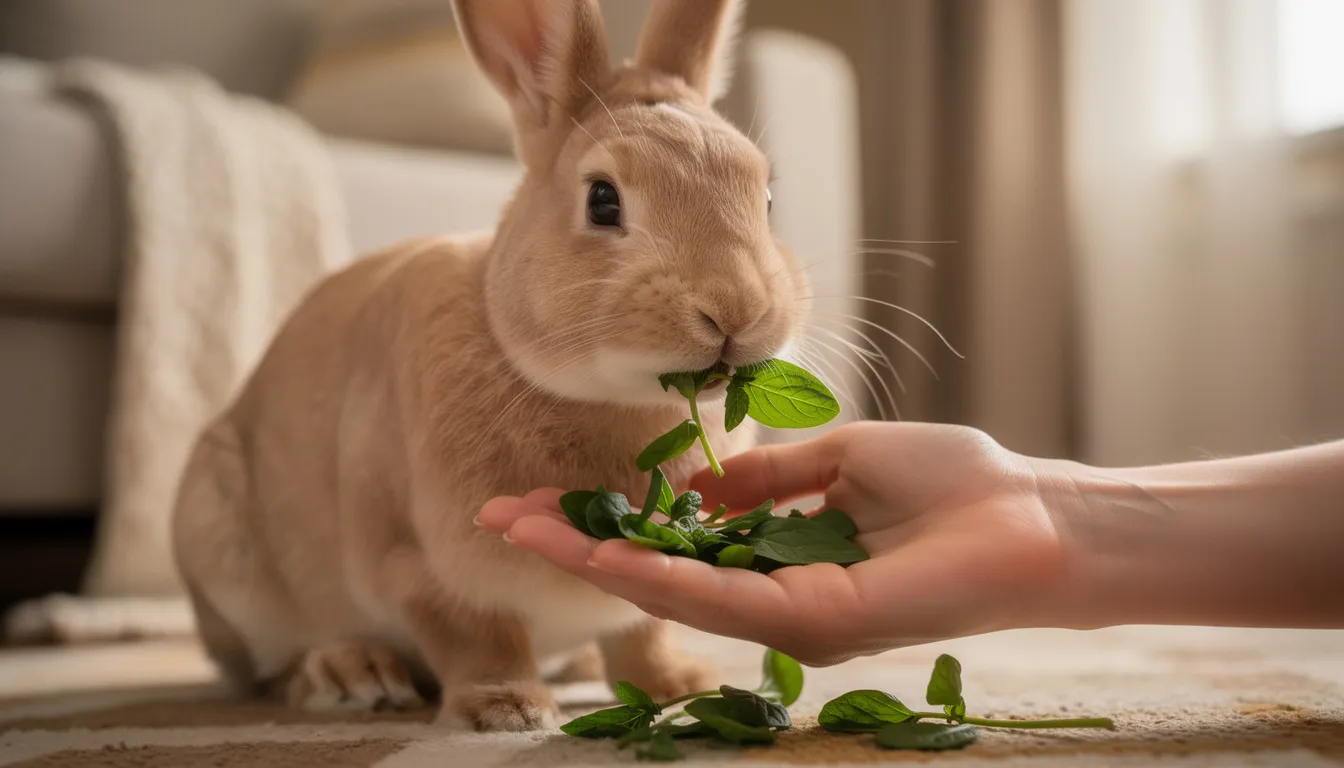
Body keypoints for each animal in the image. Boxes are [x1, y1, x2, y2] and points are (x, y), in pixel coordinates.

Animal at [171, 0, 810, 731]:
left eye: (765, 199)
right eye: (602, 200)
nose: (737, 309)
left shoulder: (631, 604)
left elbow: (641, 634)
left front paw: (679, 682)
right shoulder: (423, 568)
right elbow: (477, 637)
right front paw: (506, 711)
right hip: (228, 560)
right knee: (269, 671)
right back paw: (351, 675)